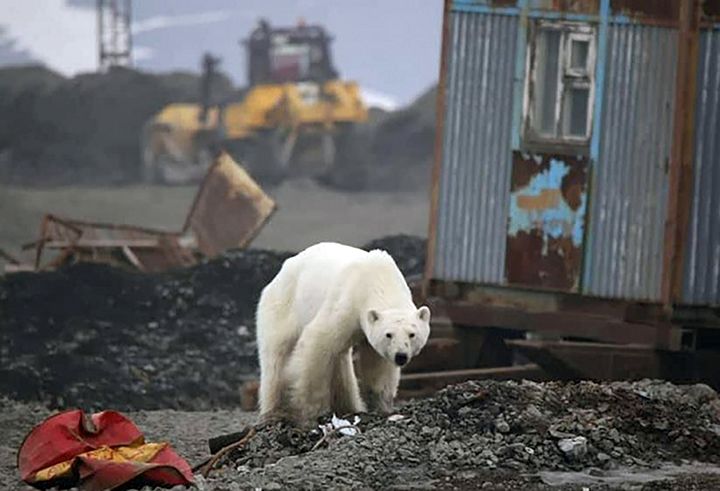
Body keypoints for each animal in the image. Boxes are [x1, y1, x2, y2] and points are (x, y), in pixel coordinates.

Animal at [255, 241, 431, 426]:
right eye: (388, 334)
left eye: (412, 334)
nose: (401, 356)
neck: (378, 279)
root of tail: (281, 272)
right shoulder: (347, 303)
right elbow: (317, 342)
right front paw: (313, 412)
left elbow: (377, 364)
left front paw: (382, 406)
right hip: (282, 306)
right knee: (276, 357)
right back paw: (273, 412)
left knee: (340, 361)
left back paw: (349, 407)